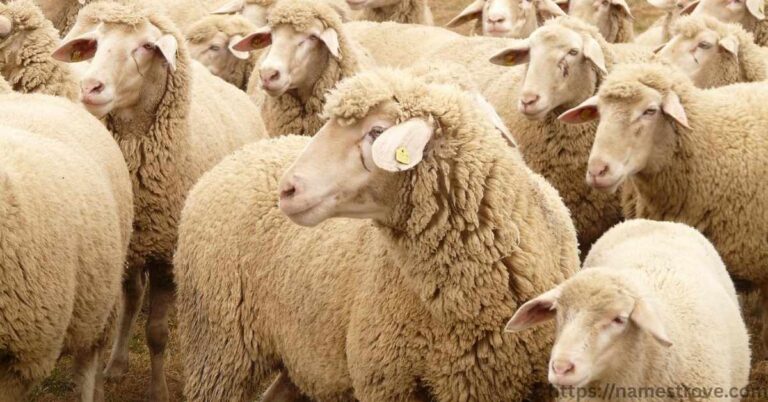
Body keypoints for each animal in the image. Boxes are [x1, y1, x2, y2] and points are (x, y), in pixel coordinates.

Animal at [51, 2, 267, 400]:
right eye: (94, 43)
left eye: (146, 47)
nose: (90, 87)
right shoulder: (126, 248)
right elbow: (126, 308)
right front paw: (109, 369)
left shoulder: (167, 253)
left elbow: (157, 333)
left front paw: (157, 389)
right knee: (133, 299)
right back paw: (118, 361)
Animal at [176, 67, 580, 401]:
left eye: (377, 132)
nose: (287, 190)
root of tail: (239, 156)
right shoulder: (386, 380)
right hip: (217, 350)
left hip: (301, 357)